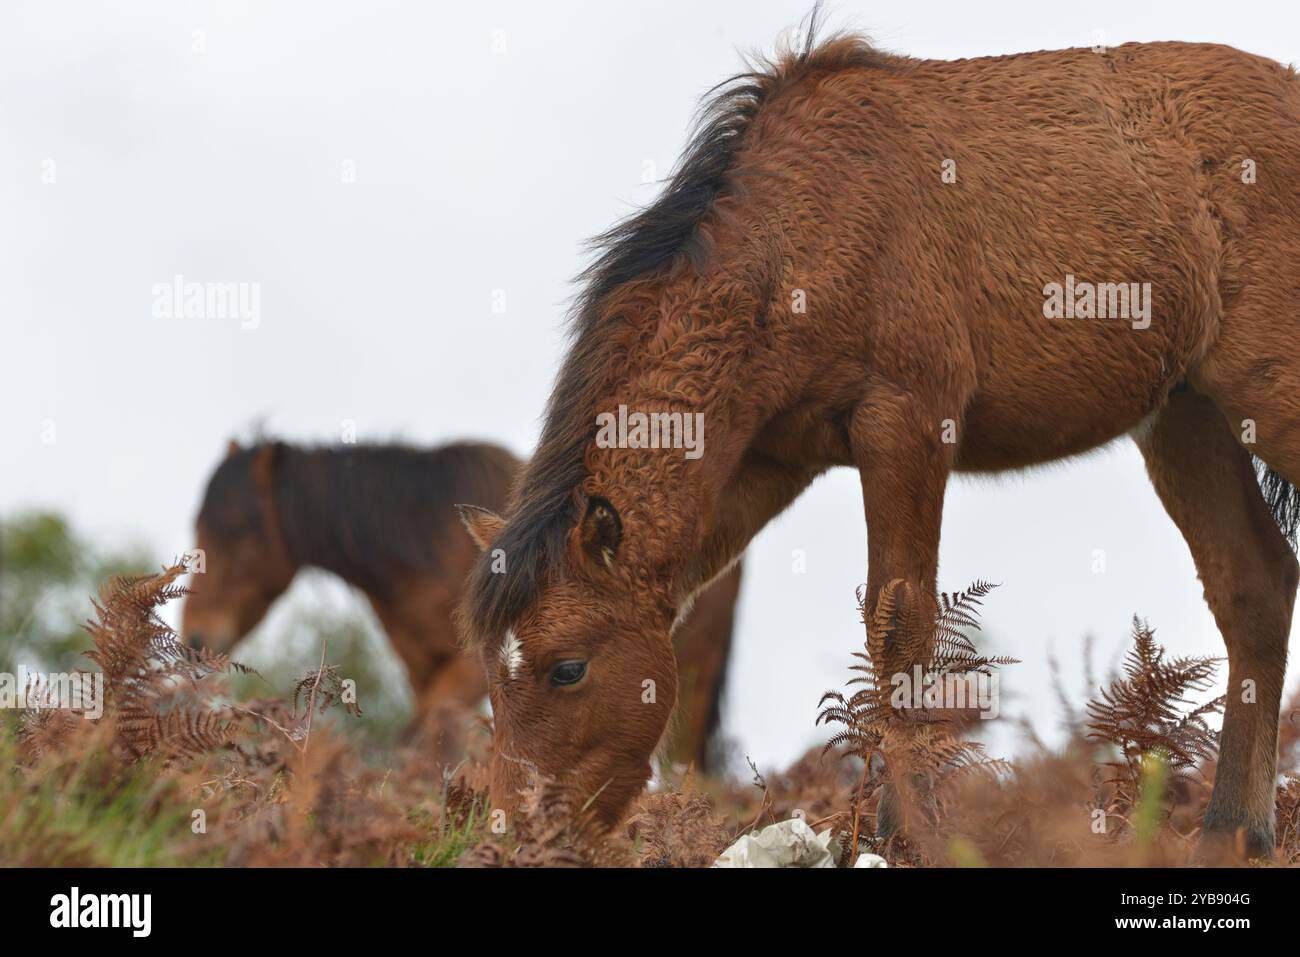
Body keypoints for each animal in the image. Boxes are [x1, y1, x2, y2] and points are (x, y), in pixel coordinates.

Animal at [457, 19, 1300, 859]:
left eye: (568, 669)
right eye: (491, 672)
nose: (506, 840)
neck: (797, 233)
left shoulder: (906, 421)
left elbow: (900, 628)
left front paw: (907, 833)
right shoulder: (766, 463)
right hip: (1189, 415)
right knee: (1255, 587)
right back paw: (1233, 829)